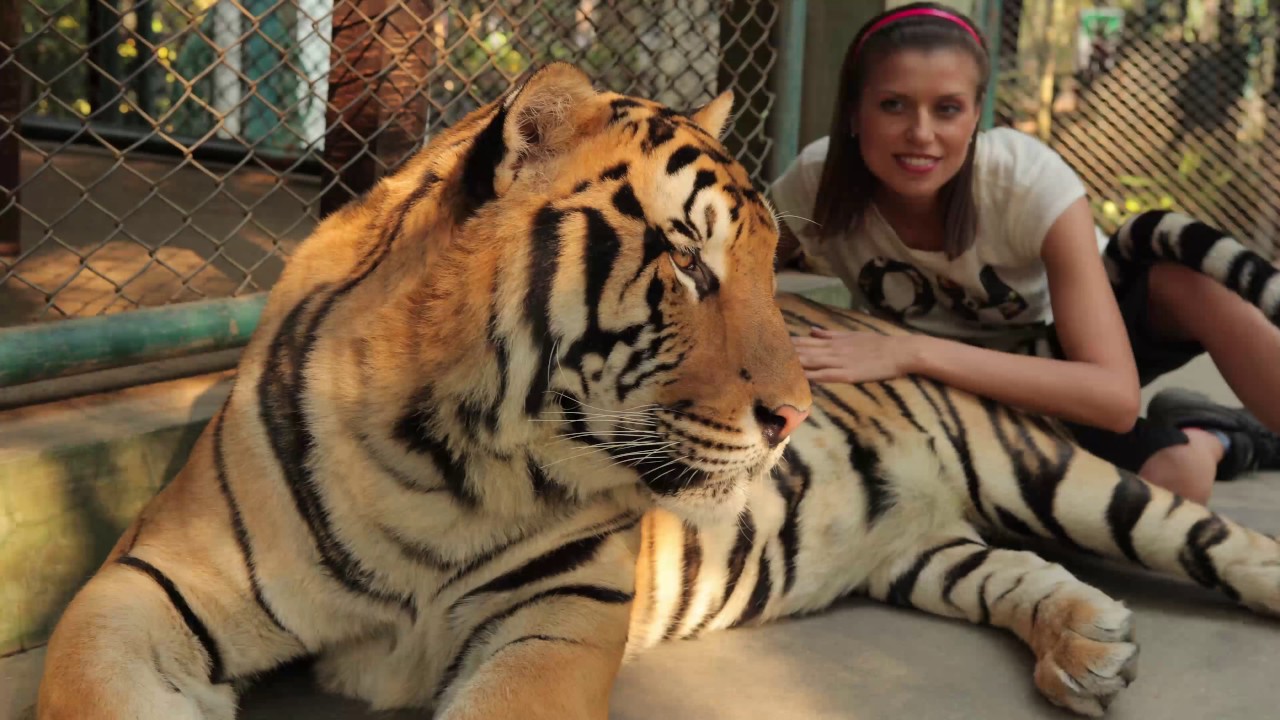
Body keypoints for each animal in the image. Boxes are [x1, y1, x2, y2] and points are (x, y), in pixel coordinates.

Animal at [33, 62, 1280, 720]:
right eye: (686, 263)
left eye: (771, 262)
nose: (792, 416)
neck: (436, 459)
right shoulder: (145, 589)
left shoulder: (550, 623)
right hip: (920, 545)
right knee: (1008, 567)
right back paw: (1086, 641)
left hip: (1059, 476)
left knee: (1216, 539)